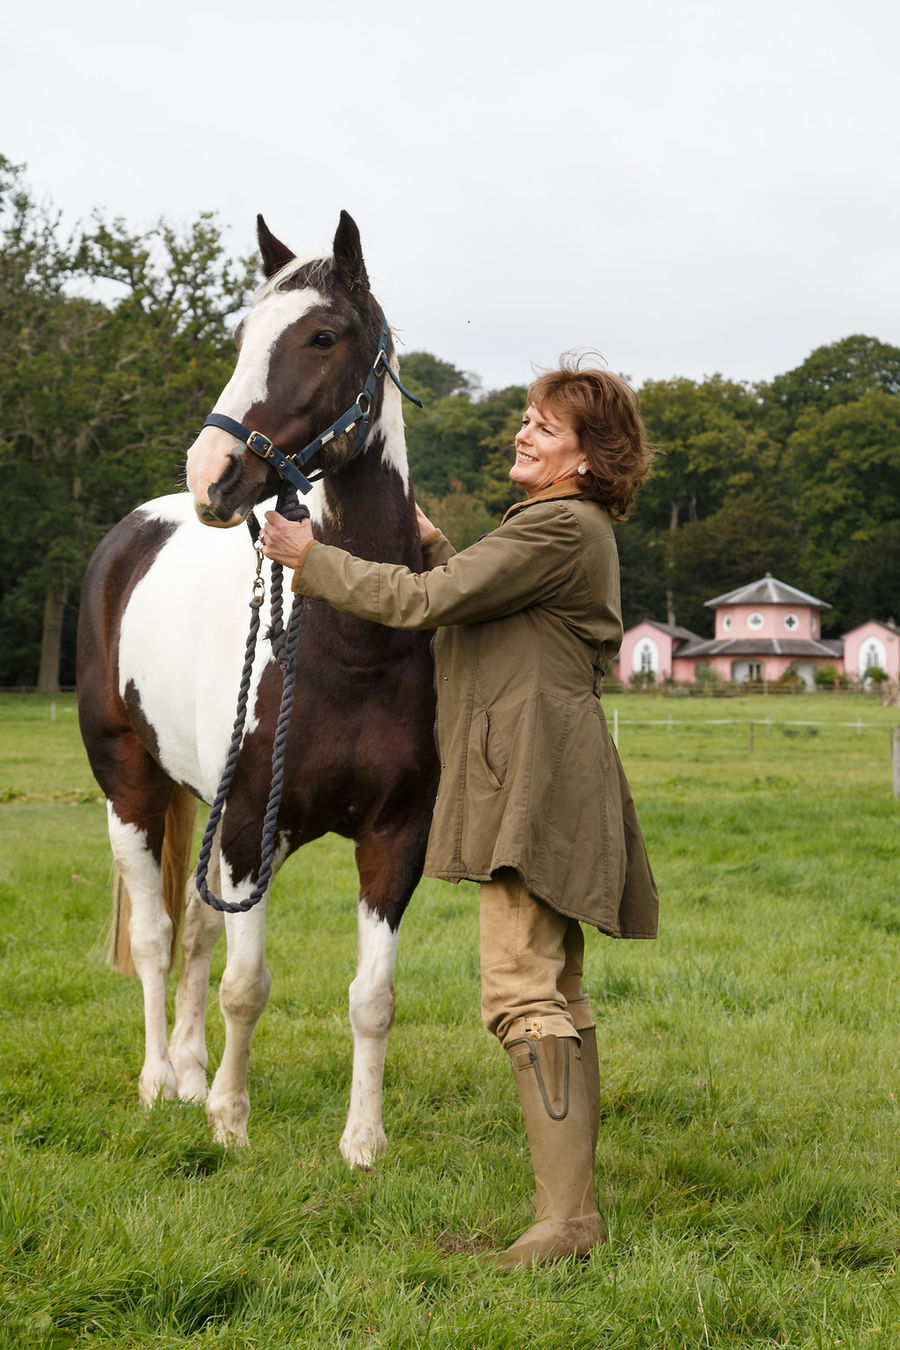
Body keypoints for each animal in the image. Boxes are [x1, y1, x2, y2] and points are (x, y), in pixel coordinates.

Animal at [76, 211, 439, 1165]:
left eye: (323, 337)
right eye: (243, 337)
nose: (214, 473)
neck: (348, 647)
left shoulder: (395, 837)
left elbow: (372, 998)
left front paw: (363, 1141)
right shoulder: (248, 828)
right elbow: (246, 983)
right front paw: (232, 1123)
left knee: (196, 931)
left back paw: (191, 1072)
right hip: (131, 786)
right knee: (160, 937)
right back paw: (161, 1081)